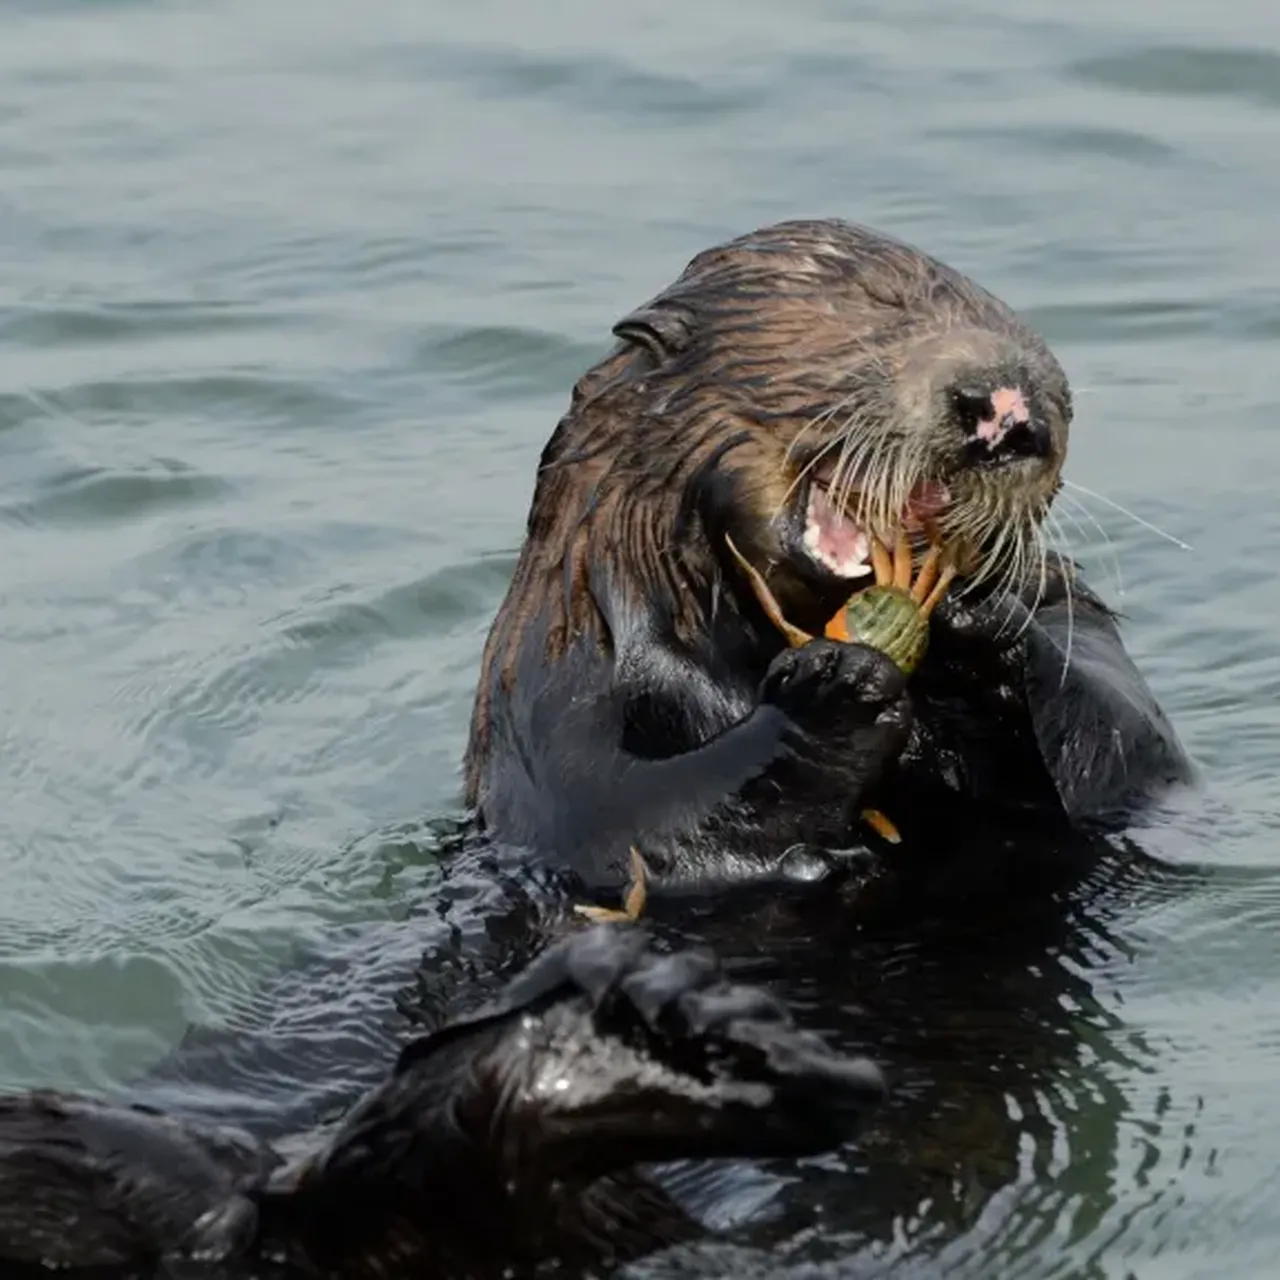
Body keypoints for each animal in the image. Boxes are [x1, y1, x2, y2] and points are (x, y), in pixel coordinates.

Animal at [463, 218, 1193, 896]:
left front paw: (978, 621)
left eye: (1063, 397)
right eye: (881, 303)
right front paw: (836, 690)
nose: (1009, 407)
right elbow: (610, 824)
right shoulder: (550, 690)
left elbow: (1133, 746)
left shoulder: (1077, 618)